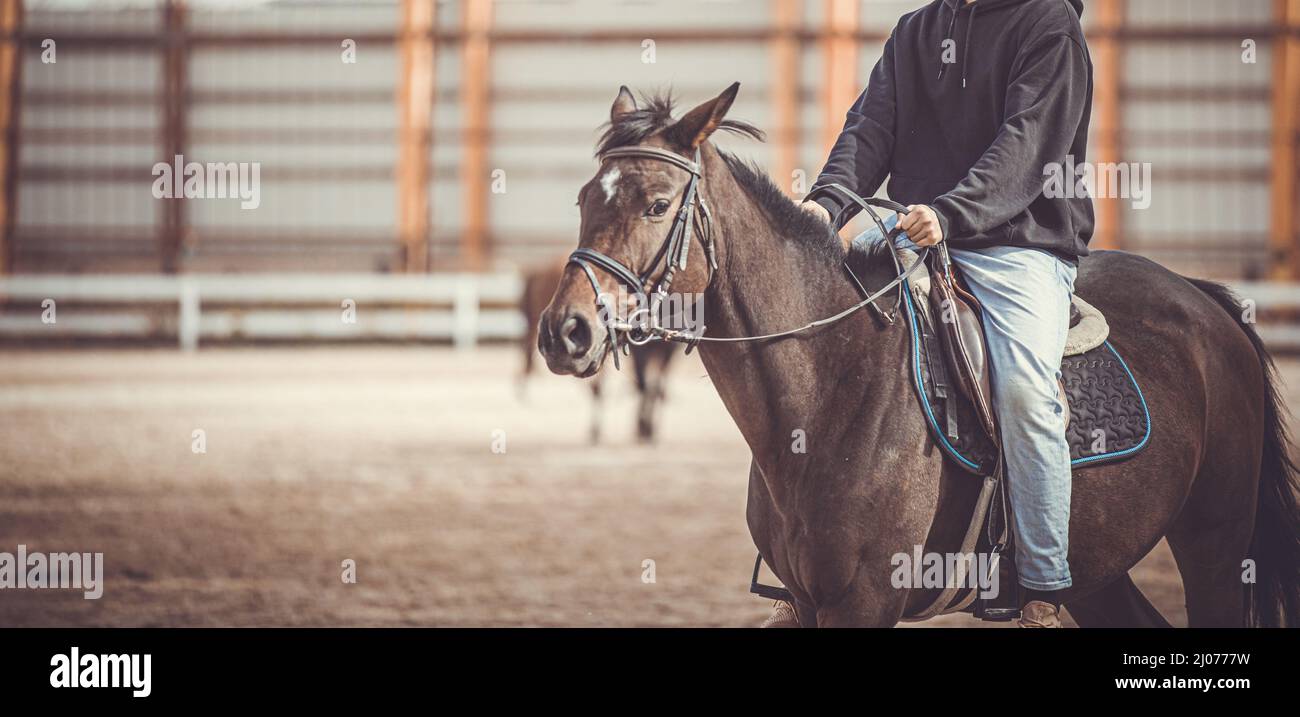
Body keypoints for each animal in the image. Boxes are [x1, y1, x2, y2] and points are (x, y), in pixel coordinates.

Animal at [538, 83, 1300, 627]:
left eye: (657, 203)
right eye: (583, 198)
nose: (563, 331)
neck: (829, 388)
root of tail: (1205, 303)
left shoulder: (864, 603)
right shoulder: (809, 603)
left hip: (1215, 550)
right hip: (1100, 573)